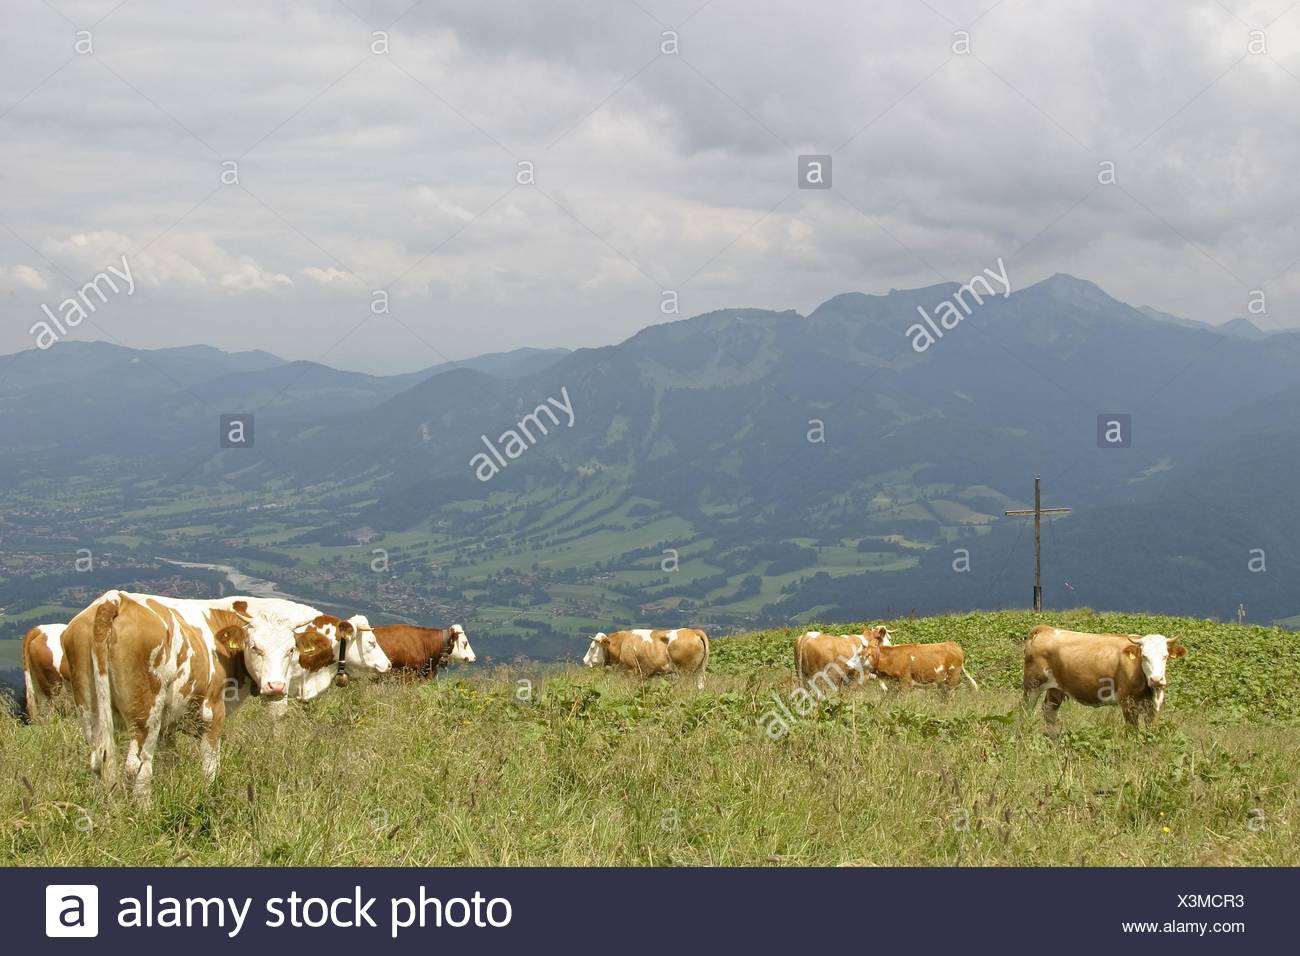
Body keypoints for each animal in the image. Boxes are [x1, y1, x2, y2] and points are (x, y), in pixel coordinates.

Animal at [60, 590, 296, 800]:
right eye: (254, 647)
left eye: (291, 649)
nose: (276, 687)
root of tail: (115, 599)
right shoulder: (212, 714)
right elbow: (210, 765)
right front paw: (207, 797)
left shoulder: (167, 727)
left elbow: (170, 762)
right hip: (146, 713)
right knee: (138, 766)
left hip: (89, 708)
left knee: (100, 760)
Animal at [1022, 625, 1186, 731]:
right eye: (1144, 656)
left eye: (1165, 656)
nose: (1156, 679)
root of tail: (1046, 629)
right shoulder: (1127, 703)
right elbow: (1132, 732)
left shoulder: (1154, 707)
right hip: (1032, 686)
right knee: (1026, 711)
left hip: (1055, 689)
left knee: (1049, 713)